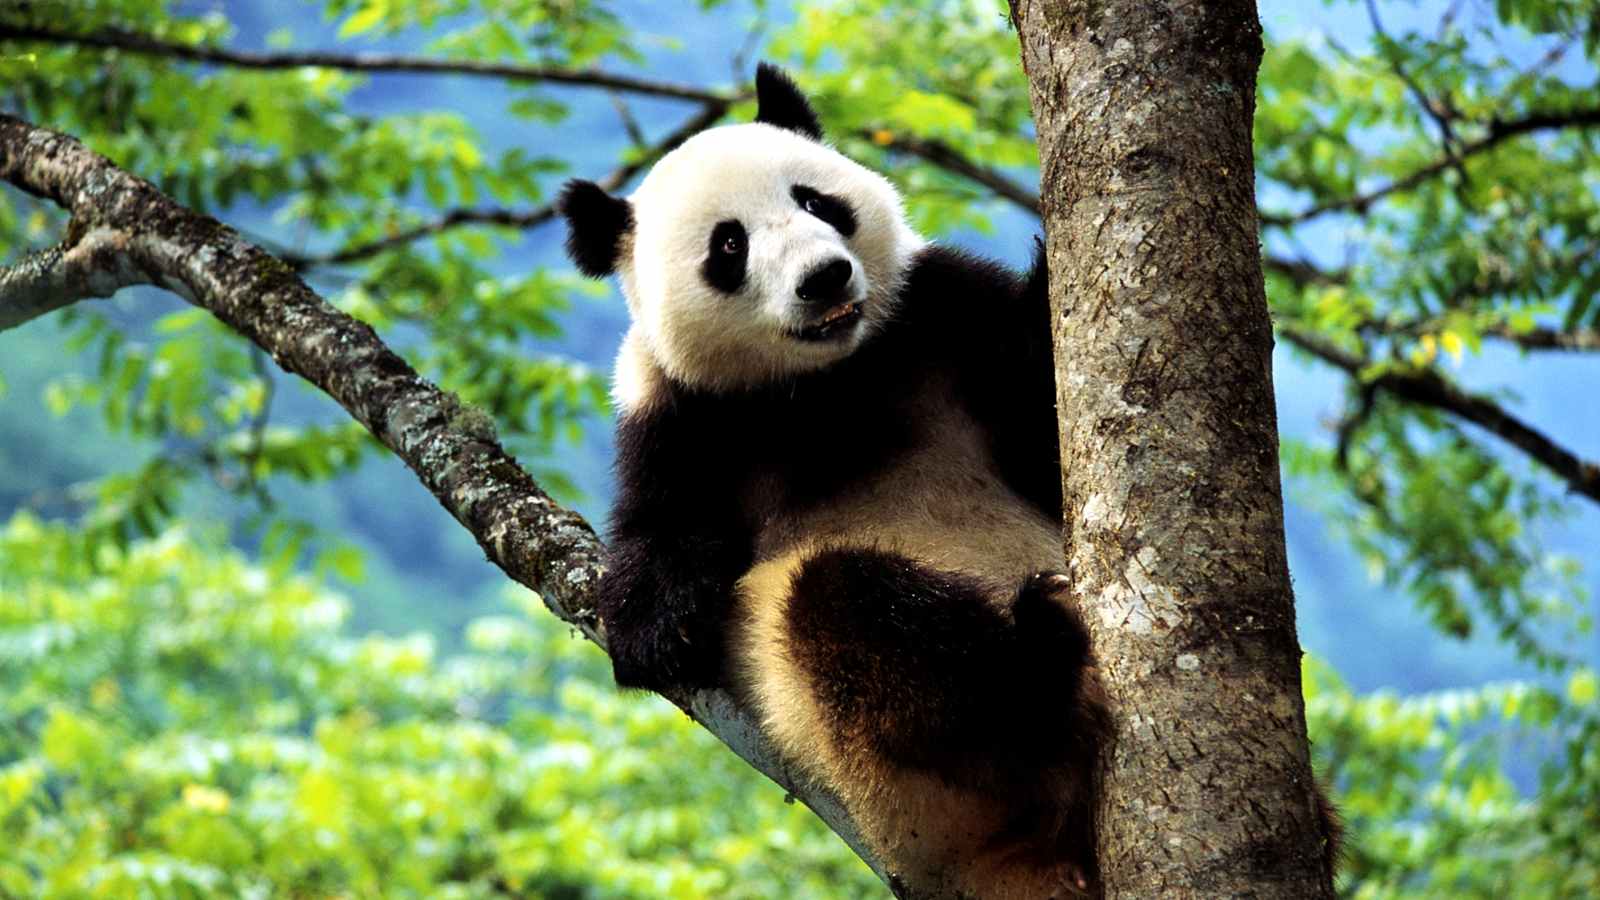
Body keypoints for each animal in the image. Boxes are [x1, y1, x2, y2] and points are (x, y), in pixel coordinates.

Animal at [558, 64, 1110, 899]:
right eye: (729, 244)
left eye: (817, 201)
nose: (825, 277)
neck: (828, 386)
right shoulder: (677, 419)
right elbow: (655, 562)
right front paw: (664, 622)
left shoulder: (939, 317)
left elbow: (1047, 435)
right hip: (902, 782)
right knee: (853, 615)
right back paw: (1038, 649)